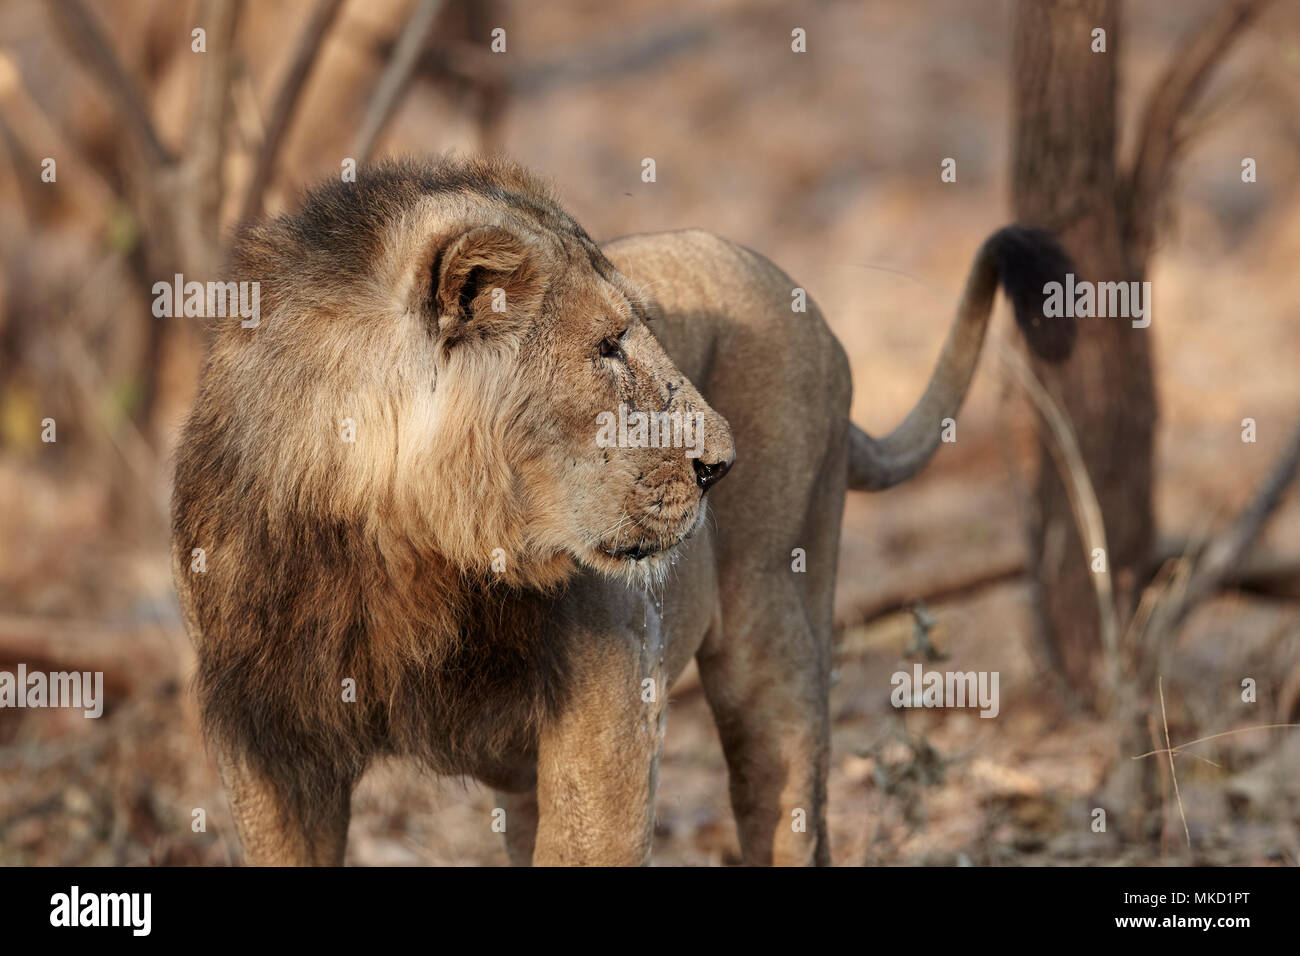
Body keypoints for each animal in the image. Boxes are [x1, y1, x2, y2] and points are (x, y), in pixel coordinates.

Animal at [171, 156, 1074, 866]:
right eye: (607, 348)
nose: (721, 465)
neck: (395, 550)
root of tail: (791, 286)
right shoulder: (266, 740)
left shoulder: (605, 703)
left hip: (771, 625)